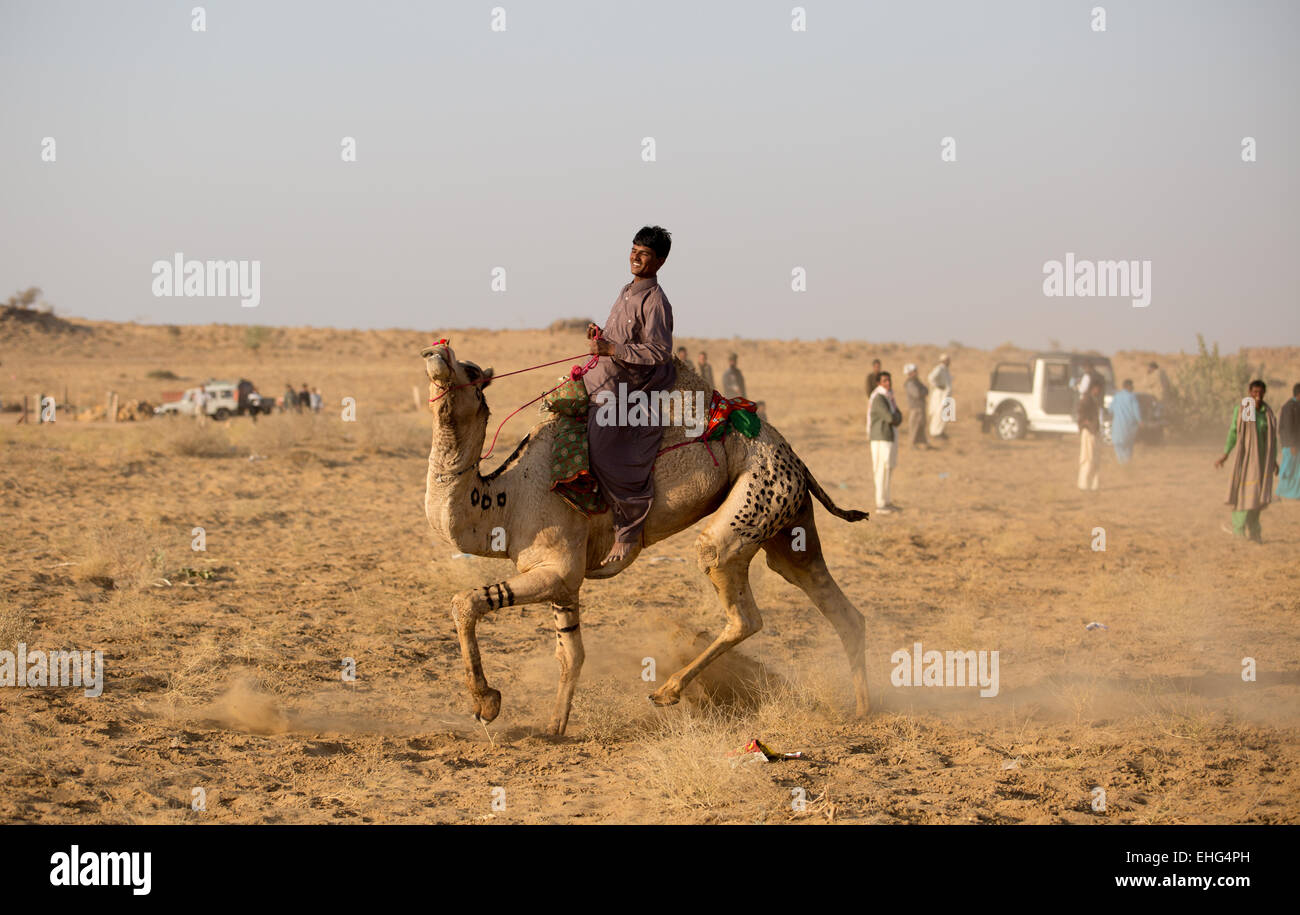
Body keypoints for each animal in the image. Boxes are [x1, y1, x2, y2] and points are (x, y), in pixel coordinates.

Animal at [422, 341, 871, 736]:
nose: (434, 352)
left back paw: (667, 691)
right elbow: (570, 654)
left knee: (737, 598)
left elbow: (465, 602)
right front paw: (553, 728)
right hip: (788, 519)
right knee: (834, 602)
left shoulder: (558, 567)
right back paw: (863, 709)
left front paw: (487, 703)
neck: (505, 500)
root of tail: (794, 456)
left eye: (472, 371)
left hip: (754, 496)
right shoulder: (561, 580)